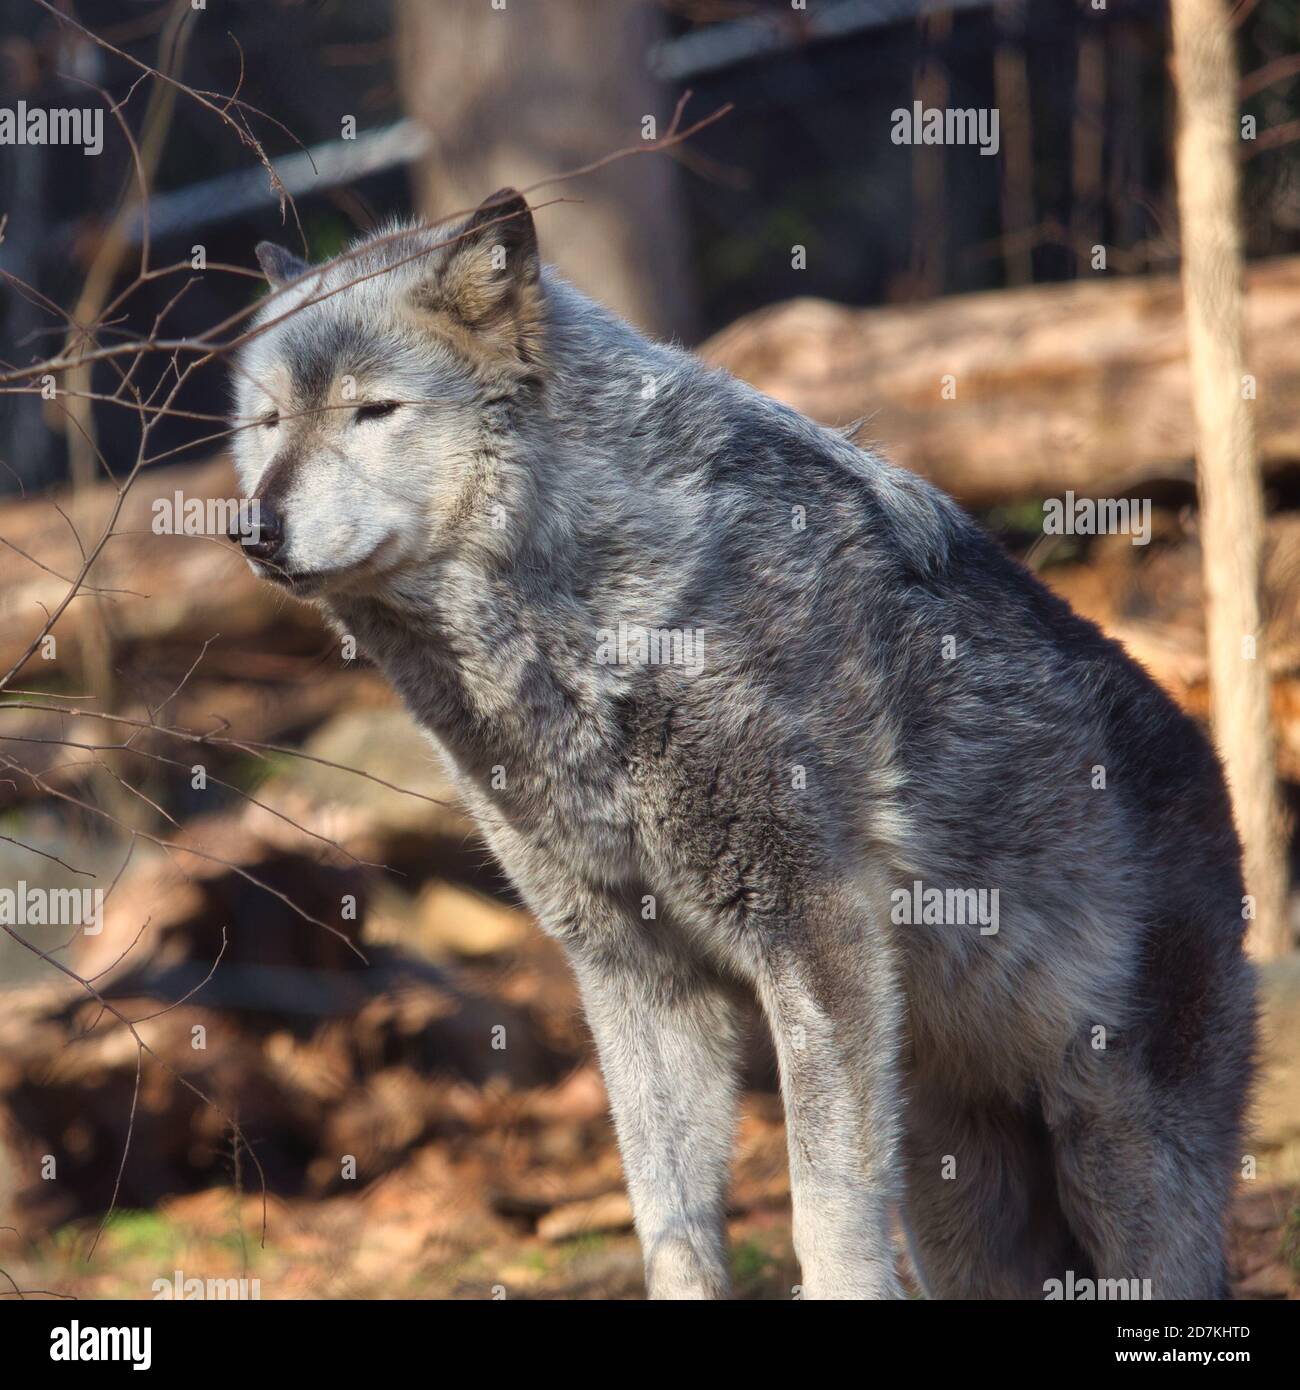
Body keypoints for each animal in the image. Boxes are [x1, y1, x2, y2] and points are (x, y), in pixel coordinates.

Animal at [230, 189, 1256, 1300]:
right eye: (268, 422)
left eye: (374, 411)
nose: (252, 528)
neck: (590, 620)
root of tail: (1216, 779)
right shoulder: (635, 975)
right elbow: (669, 1223)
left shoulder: (816, 929)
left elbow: (826, 1215)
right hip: (961, 1204)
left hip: (1115, 1163)